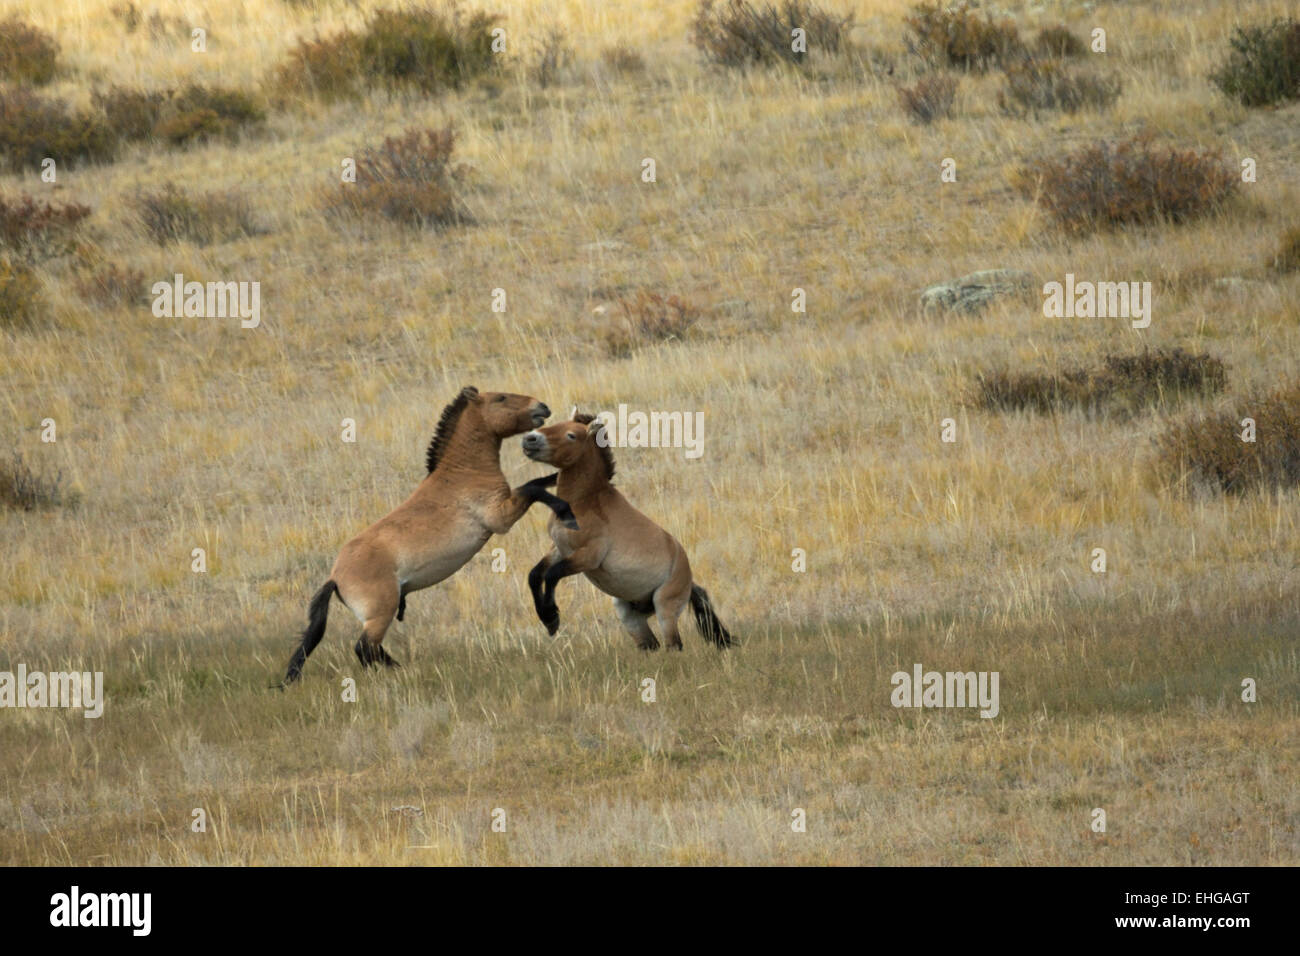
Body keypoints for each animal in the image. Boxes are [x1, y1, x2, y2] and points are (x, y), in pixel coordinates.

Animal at [282, 386, 577, 683]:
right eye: (501, 398)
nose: (542, 407)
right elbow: (533, 489)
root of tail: (335, 577)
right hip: (380, 615)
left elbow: (537, 483)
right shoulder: (501, 517)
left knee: (370, 650)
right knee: (364, 648)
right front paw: (567, 514)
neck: (463, 474)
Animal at [520, 413, 733, 650]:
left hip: (665, 610)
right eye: (555, 423)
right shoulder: (559, 548)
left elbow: (552, 573)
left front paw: (551, 618)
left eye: (571, 435)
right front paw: (546, 617)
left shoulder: (588, 557)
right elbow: (535, 574)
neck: (583, 503)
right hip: (629, 616)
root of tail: (688, 581)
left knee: (674, 645)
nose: (529, 439)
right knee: (651, 645)